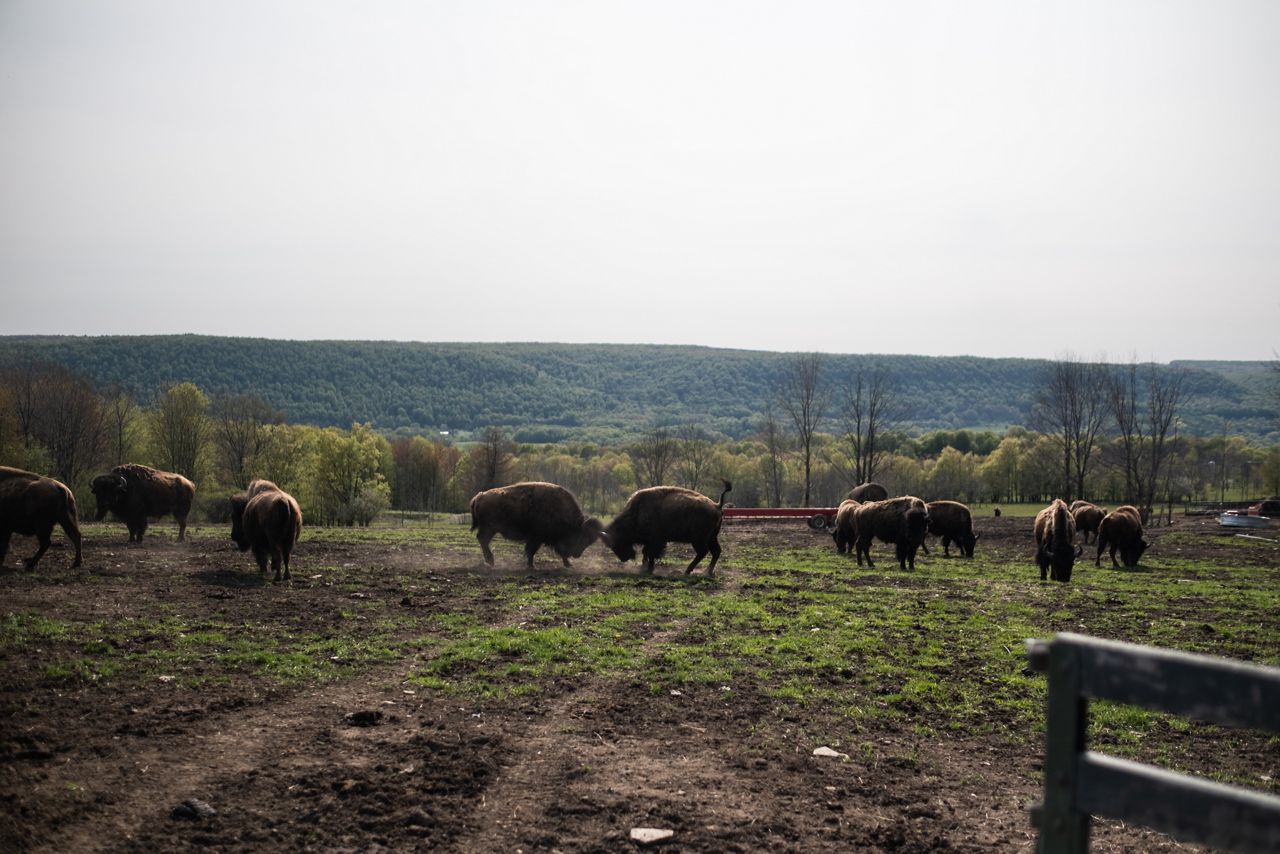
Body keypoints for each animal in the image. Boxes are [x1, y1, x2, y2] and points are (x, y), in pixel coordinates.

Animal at [469, 481, 604, 569]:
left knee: (482, 540)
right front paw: (532, 566)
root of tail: (479, 496)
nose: (577, 554)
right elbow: (531, 551)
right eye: (583, 537)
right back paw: (491, 561)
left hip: (490, 529)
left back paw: (490, 561)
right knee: (483, 540)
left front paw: (568, 564)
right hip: (489, 528)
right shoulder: (536, 538)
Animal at [602, 480, 731, 575]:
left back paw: (688, 571)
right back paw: (707, 571)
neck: (637, 513)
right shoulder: (650, 541)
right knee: (716, 551)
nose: (623, 558)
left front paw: (649, 569)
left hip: (699, 539)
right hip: (712, 537)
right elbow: (646, 552)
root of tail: (717, 505)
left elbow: (650, 553)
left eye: (617, 541)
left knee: (703, 552)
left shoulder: (655, 541)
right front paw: (644, 568)